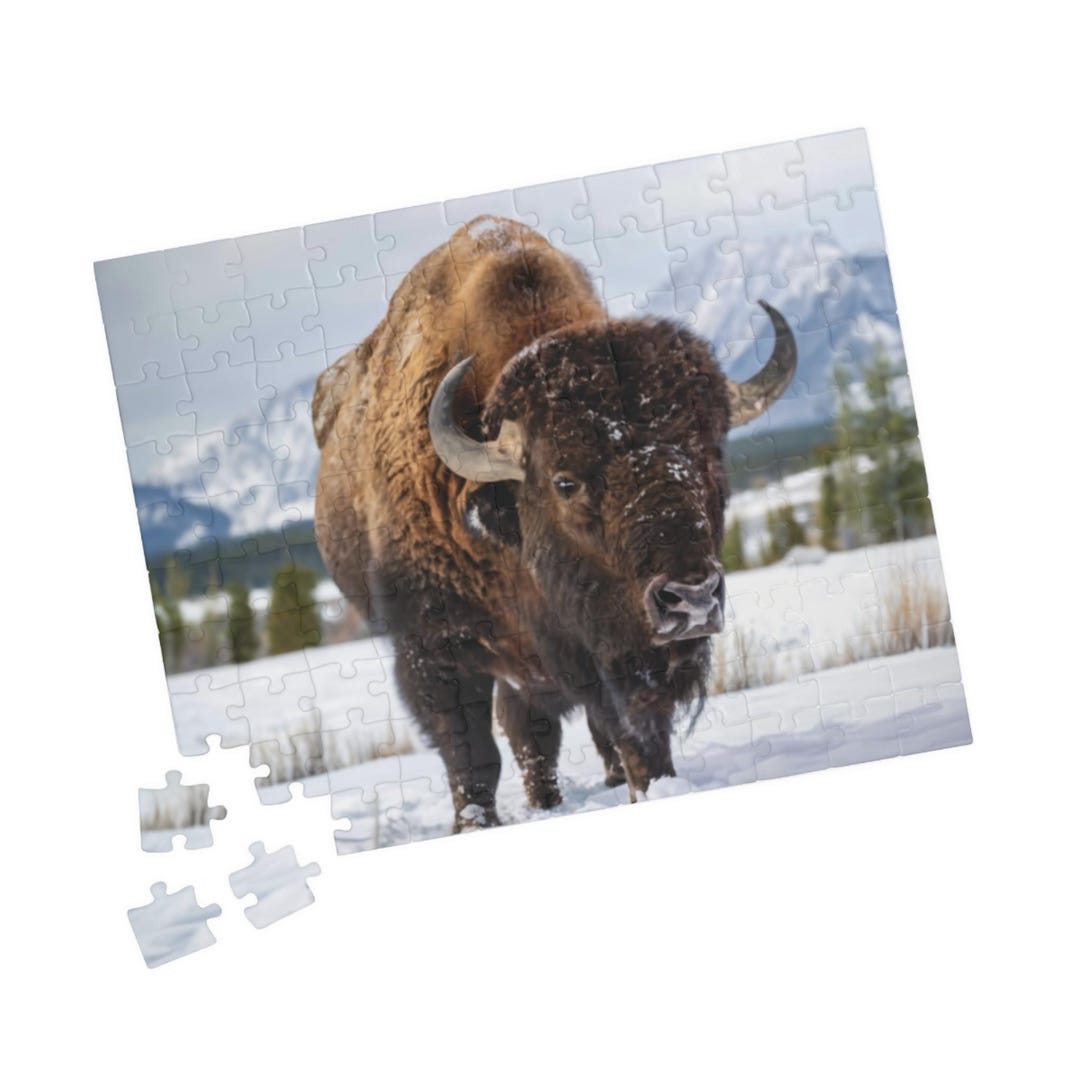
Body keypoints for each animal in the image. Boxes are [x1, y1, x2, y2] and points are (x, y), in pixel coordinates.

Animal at [312, 216, 795, 832]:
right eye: (565, 482)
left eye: (711, 454)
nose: (691, 598)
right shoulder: (429, 650)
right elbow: (471, 756)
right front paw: (474, 823)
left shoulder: (622, 655)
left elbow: (637, 733)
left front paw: (652, 787)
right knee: (524, 739)